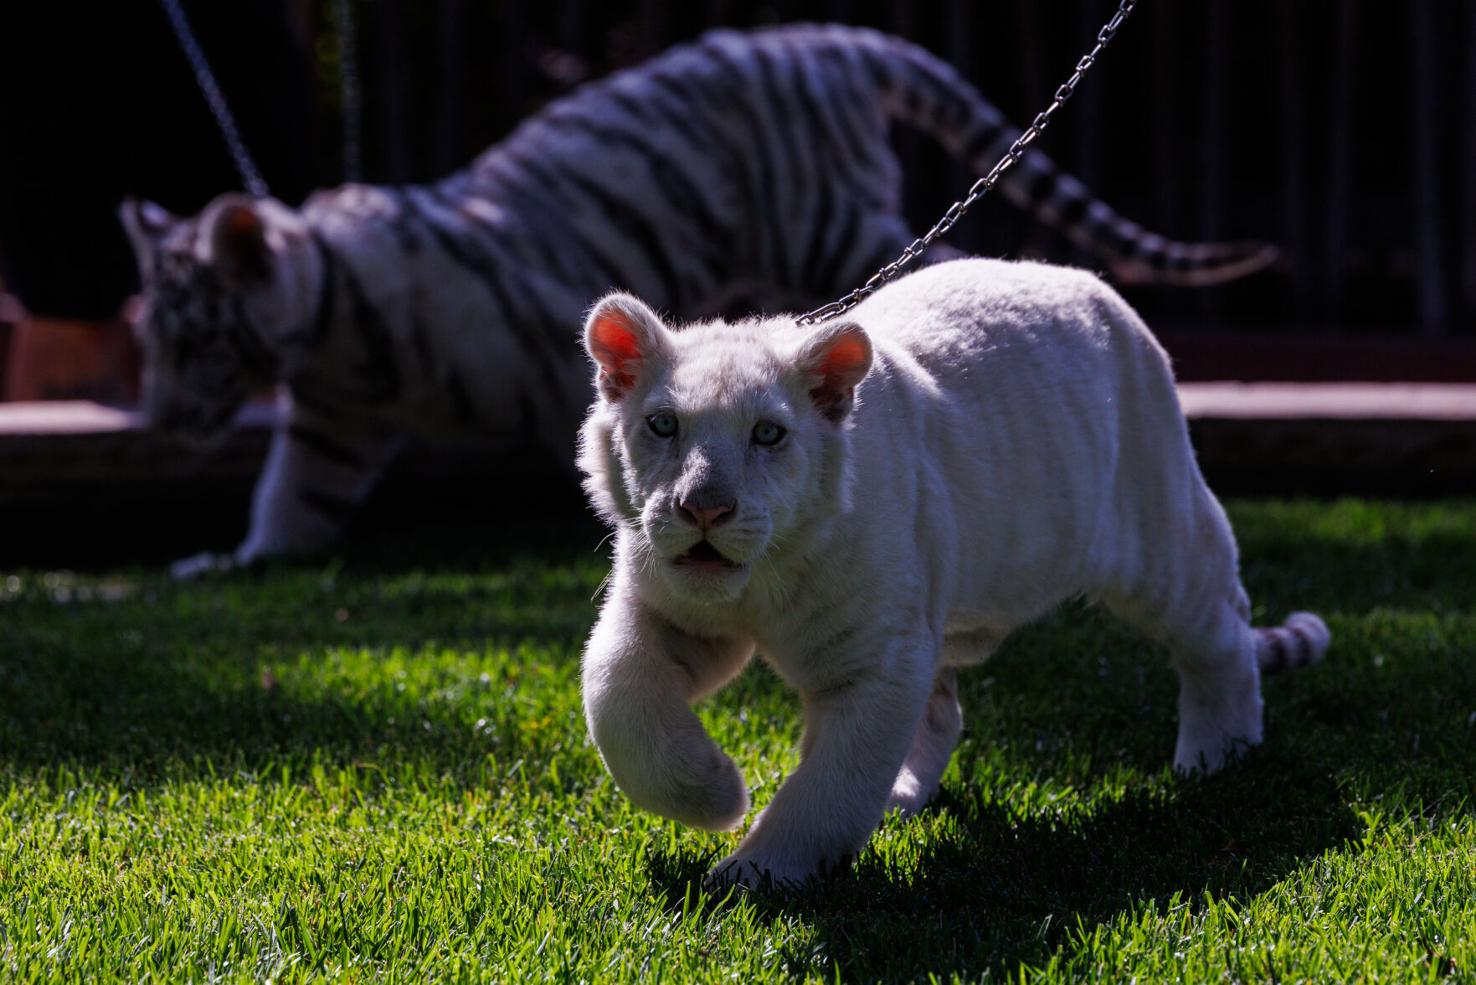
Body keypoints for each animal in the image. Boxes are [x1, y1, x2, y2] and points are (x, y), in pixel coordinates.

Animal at [120, 24, 1276, 575]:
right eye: (152, 339)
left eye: (191, 339)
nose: (161, 422)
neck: (331, 331)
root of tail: (828, 38)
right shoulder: (329, 424)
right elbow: (289, 500)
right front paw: (235, 561)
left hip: (830, 219)